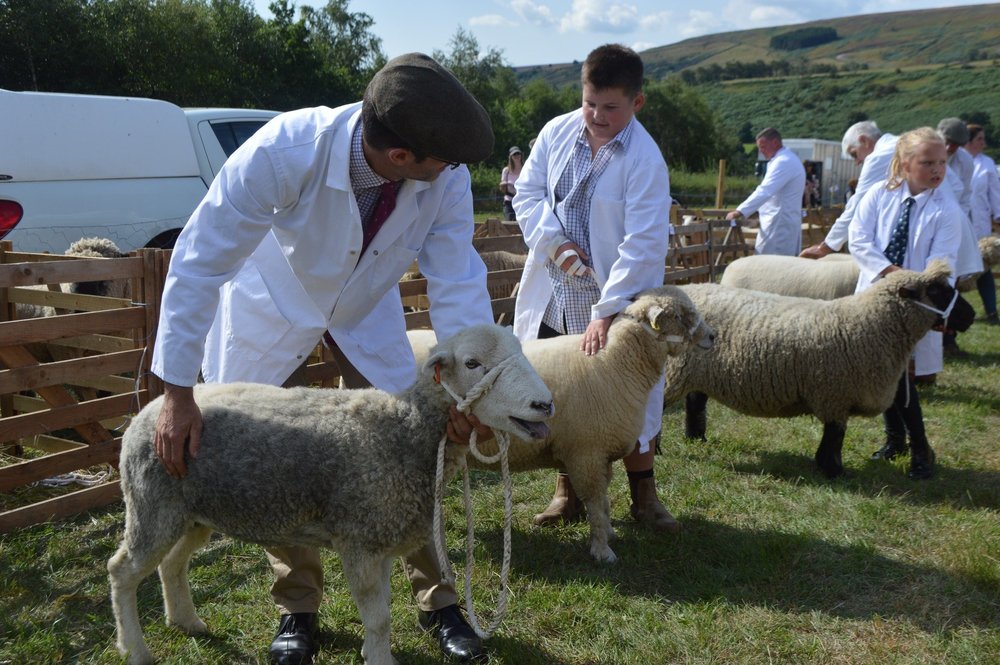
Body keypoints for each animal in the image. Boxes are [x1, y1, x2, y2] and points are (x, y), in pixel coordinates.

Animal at [107, 324, 553, 665]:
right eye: (472, 363)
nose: (544, 404)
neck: (405, 428)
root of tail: (146, 413)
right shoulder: (360, 541)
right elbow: (378, 617)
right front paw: (380, 660)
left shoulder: (380, 538)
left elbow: (382, 613)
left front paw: (379, 653)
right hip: (151, 506)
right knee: (122, 571)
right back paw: (135, 649)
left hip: (193, 514)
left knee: (172, 564)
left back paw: (185, 621)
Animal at [409, 286, 714, 563]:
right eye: (679, 315)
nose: (712, 335)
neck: (617, 362)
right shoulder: (586, 452)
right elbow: (594, 500)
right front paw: (602, 550)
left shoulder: (598, 452)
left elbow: (603, 500)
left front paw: (608, 532)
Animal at [666, 261, 976, 478]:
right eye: (936, 291)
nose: (971, 316)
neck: (870, 324)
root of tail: (686, 289)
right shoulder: (834, 394)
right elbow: (835, 435)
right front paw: (833, 470)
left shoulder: (839, 394)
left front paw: (827, 466)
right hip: (673, 373)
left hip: (697, 373)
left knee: (695, 402)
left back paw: (696, 438)